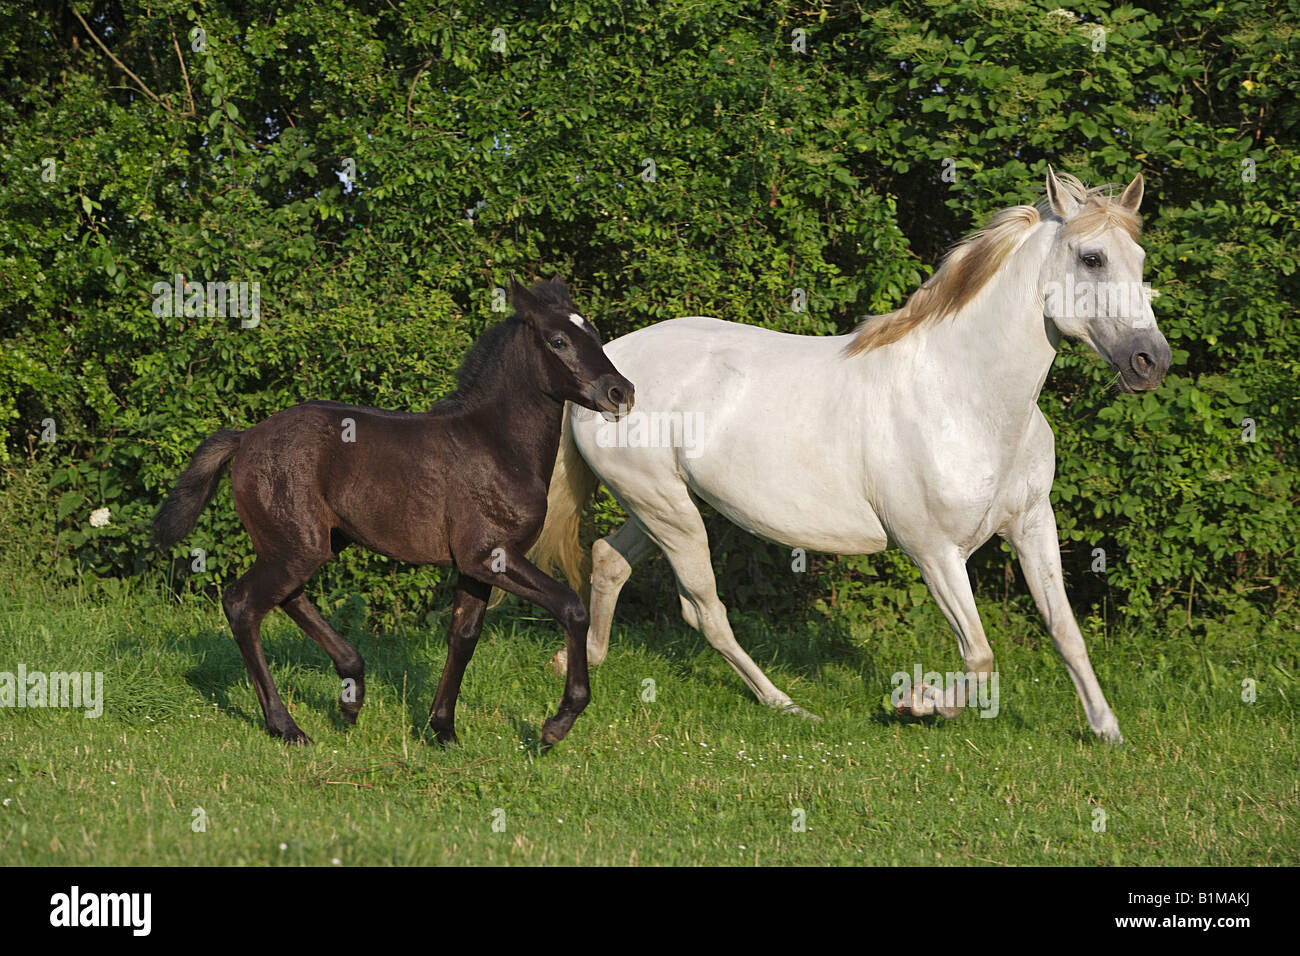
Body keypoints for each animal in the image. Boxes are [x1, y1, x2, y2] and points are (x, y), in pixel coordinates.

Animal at [153, 276, 635, 747]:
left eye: (594, 334)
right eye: (558, 340)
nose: (621, 392)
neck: (495, 442)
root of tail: (246, 438)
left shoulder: (476, 566)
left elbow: (463, 636)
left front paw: (443, 730)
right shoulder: (490, 555)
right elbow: (571, 607)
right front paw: (556, 725)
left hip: (308, 543)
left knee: (286, 596)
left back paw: (351, 690)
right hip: (297, 544)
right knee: (242, 604)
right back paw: (286, 726)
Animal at [531, 168, 1168, 743]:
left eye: (1139, 260)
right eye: (1092, 258)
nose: (1150, 361)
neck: (967, 398)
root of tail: (606, 376)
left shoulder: (1032, 524)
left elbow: (1065, 630)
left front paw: (1106, 730)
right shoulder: (934, 552)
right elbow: (980, 653)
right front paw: (919, 702)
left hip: (662, 507)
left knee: (610, 559)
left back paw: (579, 660)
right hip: (670, 513)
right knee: (704, 612)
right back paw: (787, 706)